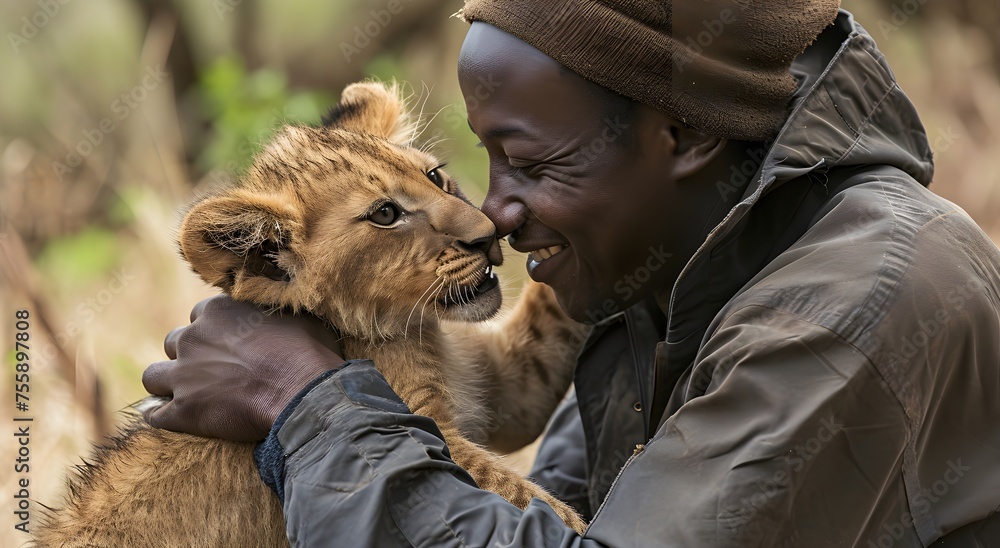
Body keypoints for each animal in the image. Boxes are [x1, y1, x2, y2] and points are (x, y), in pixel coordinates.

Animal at [33, 81, 590, 547]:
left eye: (434, 175)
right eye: (385, 214)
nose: (489, 233)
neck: (416, 329)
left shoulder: (504, 385)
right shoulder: (427, 426)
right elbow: (508, 491)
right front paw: (575, 526)